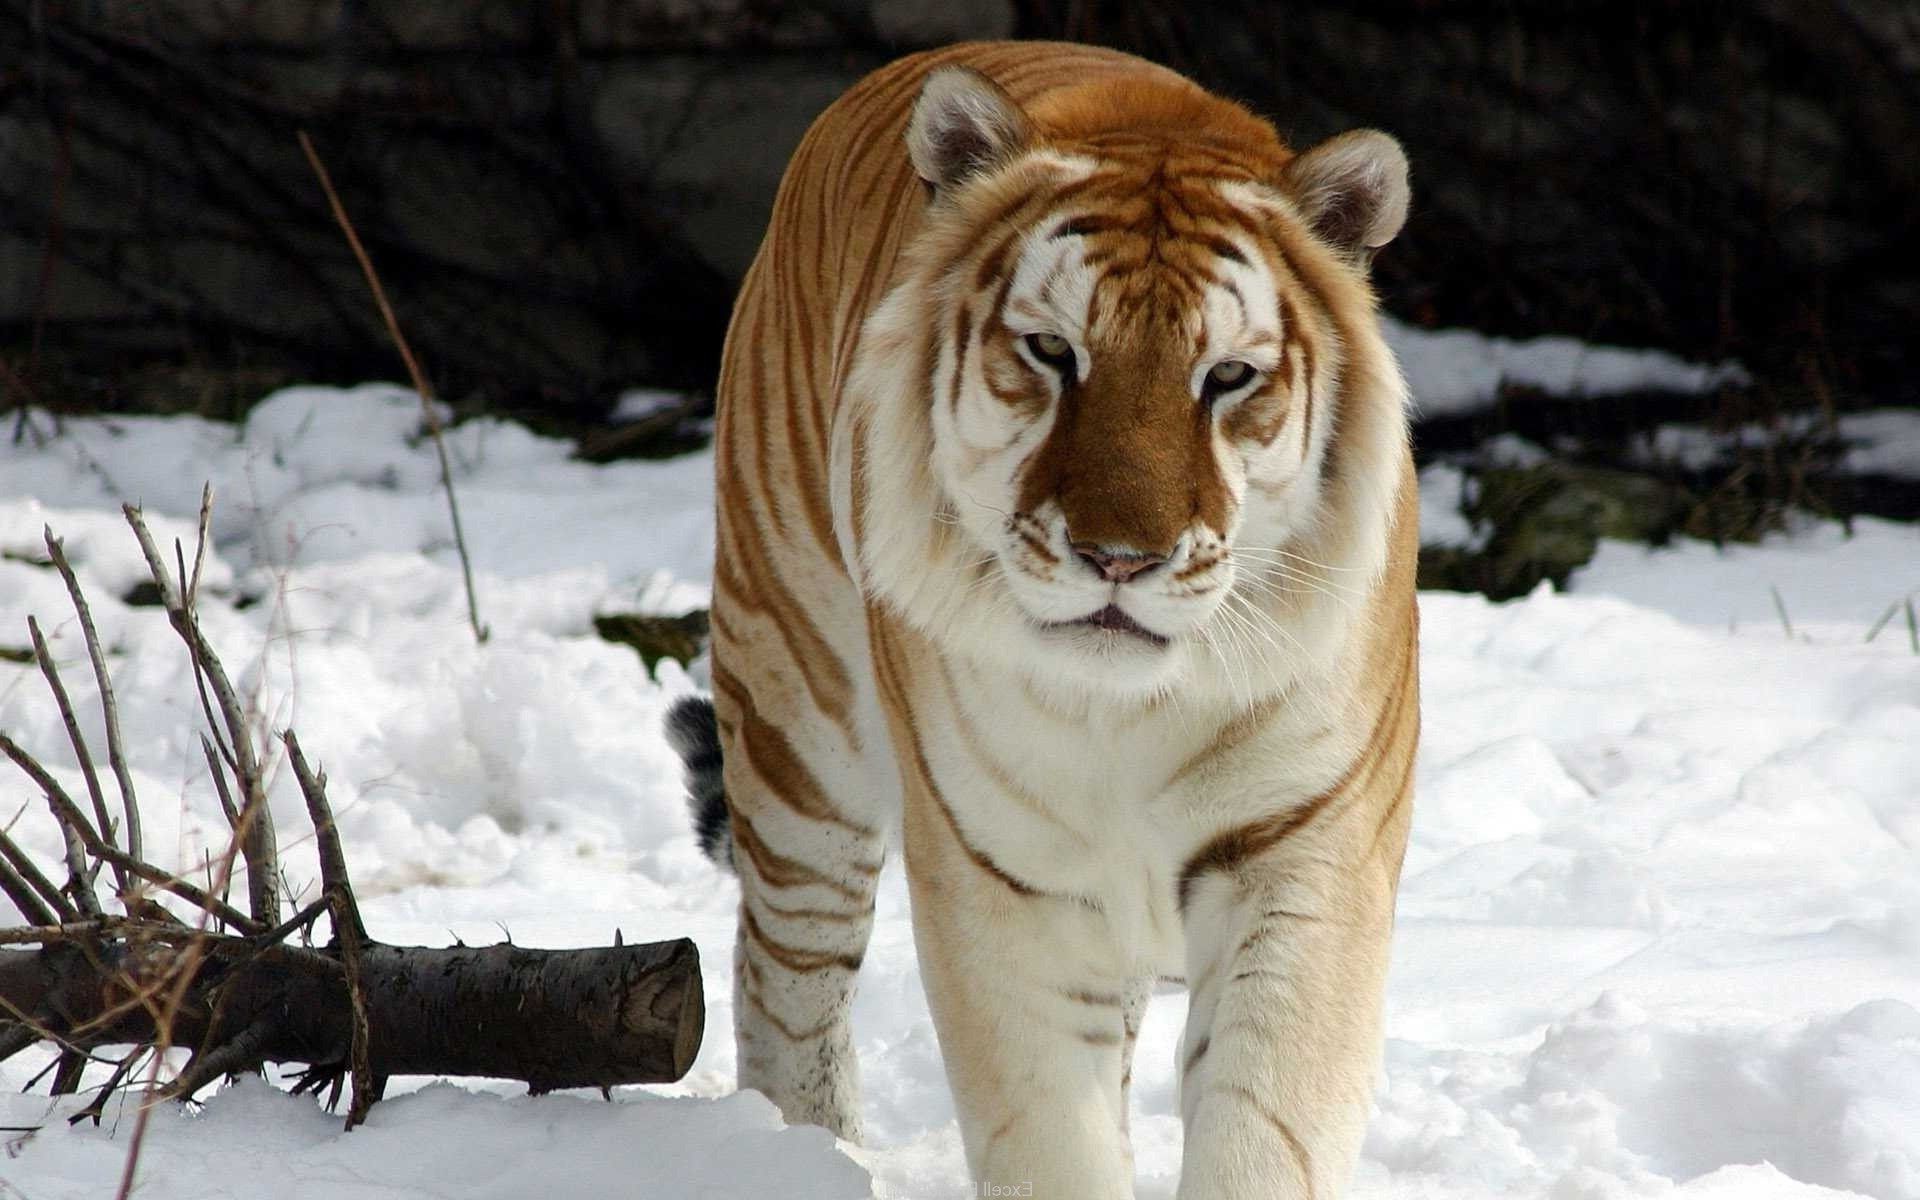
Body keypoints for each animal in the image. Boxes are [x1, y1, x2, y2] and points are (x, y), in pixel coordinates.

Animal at [666, 39, 1419, 1200]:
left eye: (1228, 376)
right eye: (1054, 353)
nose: (1120, 557)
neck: (1131, 710)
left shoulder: (1305, 855)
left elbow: (1262, 1125)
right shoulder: (1003, 879)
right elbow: (1050, 1132)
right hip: (796, 720)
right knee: (782, 975)